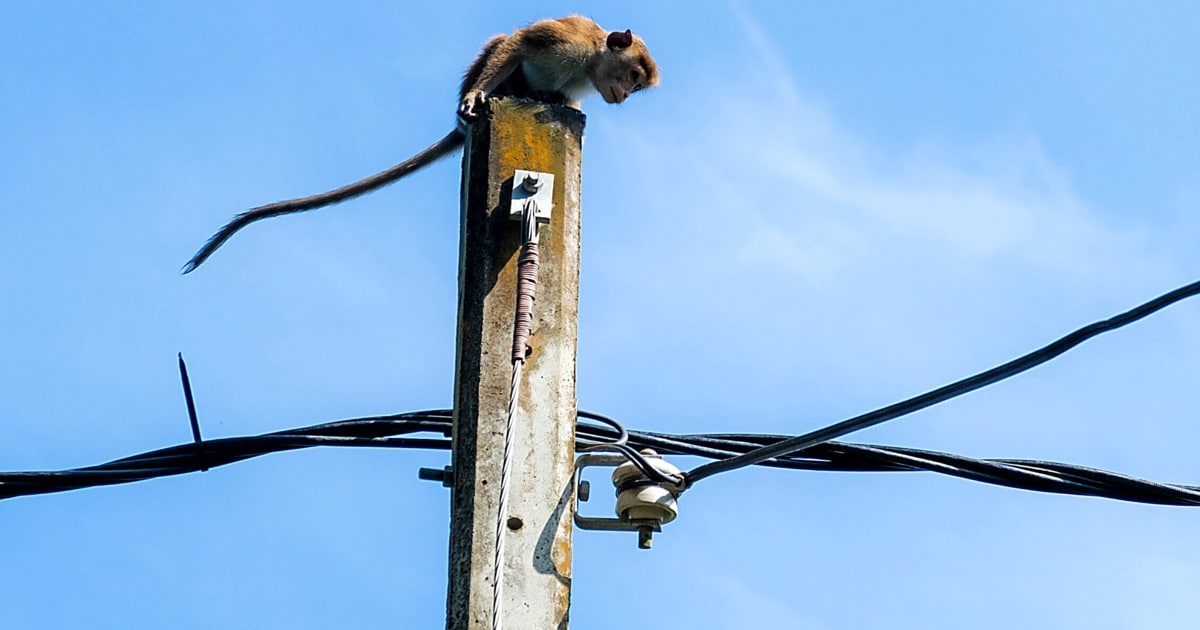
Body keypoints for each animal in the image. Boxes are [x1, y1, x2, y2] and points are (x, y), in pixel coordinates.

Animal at [182, 15, 658, 273]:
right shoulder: (564, 40)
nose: (625, 95)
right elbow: (517, 43)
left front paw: (567, 105)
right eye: (633, 76)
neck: (590, 59)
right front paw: (477, 95)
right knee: (501, 47)